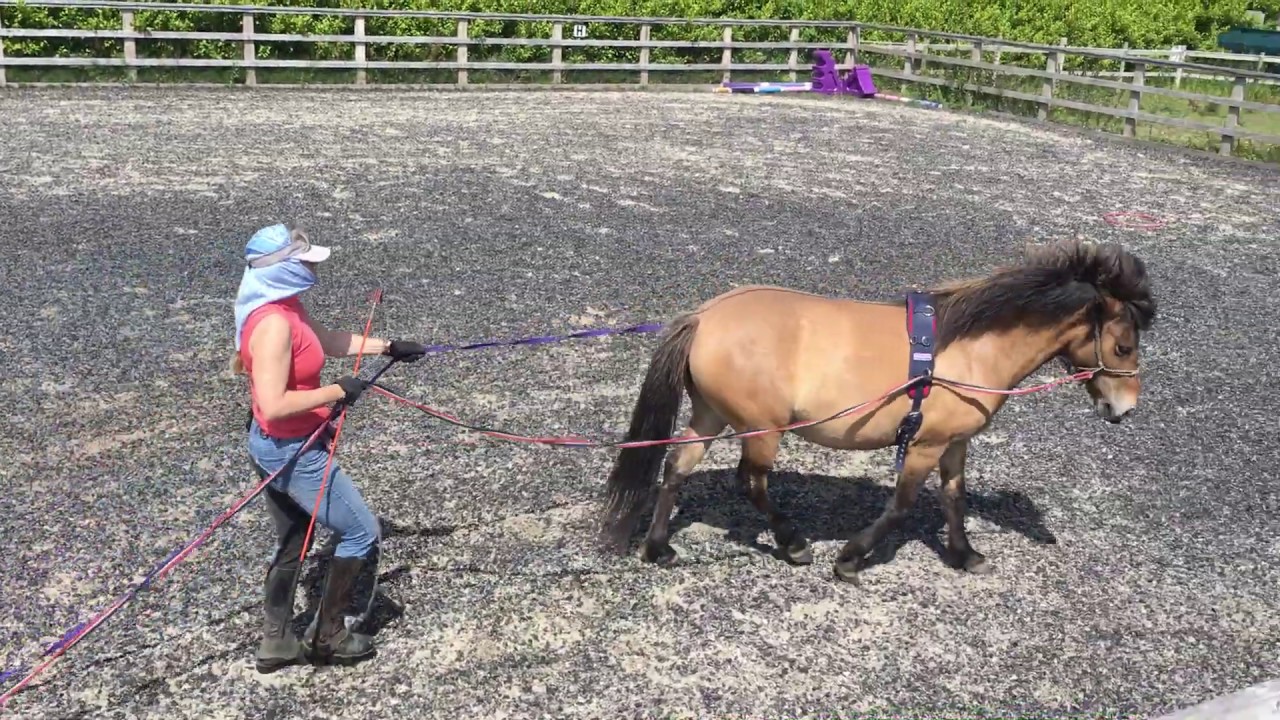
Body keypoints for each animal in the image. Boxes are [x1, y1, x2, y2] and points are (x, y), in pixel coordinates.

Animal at [598, 238, 1156, 582]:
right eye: (1124, 346)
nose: (1124, 408)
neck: (971, 347)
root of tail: (704, 316)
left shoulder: (955, 443)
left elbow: (954, 498)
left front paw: (965, 555)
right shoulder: (924, 444)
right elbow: (902, 505)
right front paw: (850, 559)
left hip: (712, 415)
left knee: (677, 465)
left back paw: (659, 547)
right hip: (762, 428)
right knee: (750, 482)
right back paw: (794, 543)